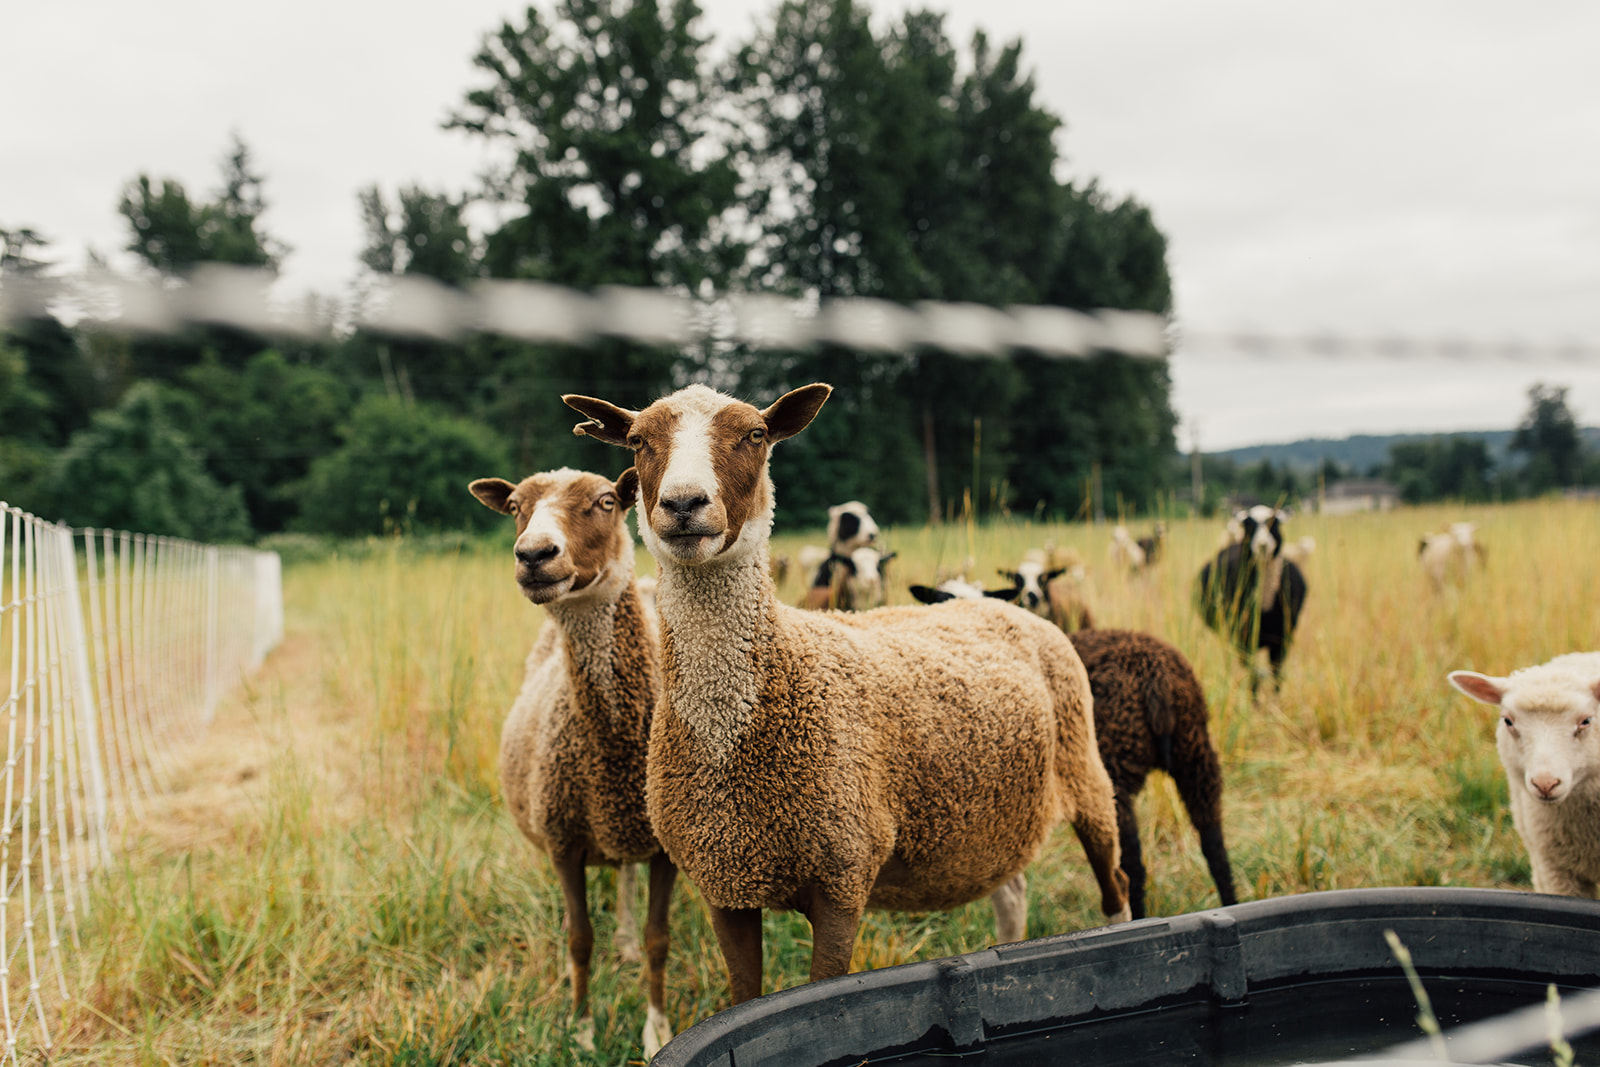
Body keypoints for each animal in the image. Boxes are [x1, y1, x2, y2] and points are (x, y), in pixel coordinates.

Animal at [468, 467, 676, 1056]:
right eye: (516, 506)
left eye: (605, 501)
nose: (535, 554)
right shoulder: (562, 841)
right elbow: (581, 938)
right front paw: (581, 1028)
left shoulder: (663, 849)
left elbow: (659, 939)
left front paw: (655, 1029)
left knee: (625, 877)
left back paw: (625, 941)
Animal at [564, 382, 1129, 1005]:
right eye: (639, 441)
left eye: (755, 435)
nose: (684, 505)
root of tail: (1000, 604)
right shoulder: (725, 885)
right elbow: (744, 995)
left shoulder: (842, 876)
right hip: (993, 817)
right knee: (1011, 893)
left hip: (1086, 773)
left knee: (1116, 883)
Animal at [1065, 629, 1236, 919]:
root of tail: (1157, 679)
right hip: (1195, 754)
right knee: (1215, 846)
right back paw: (1233, 904)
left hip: (1115, 771)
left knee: (1131, 865)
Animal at [1195, 505, 1309, 697]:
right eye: (1248, 525)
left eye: (1275, 523)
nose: (1262, 546)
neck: (1264, 609)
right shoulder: (1242, 640)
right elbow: (1254, 676)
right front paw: (1255, 700)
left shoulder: (1282, 639)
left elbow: (1277, 676)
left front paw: (1274, 702)